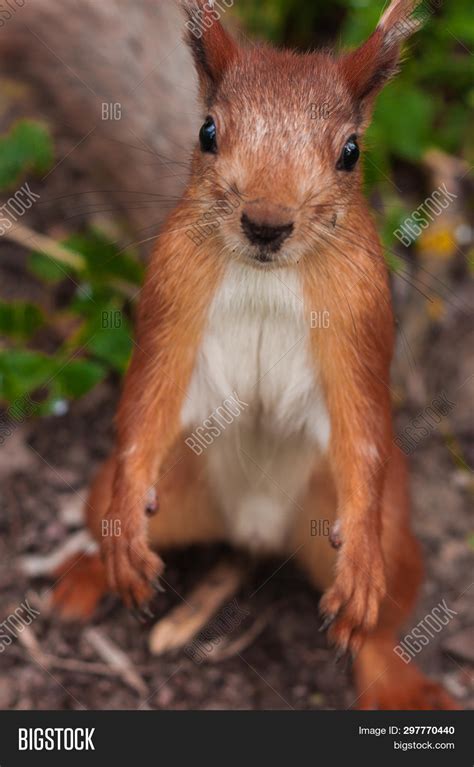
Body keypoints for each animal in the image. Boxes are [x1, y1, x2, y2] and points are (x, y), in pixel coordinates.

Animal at [15, 0, 457, 709]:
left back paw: (396, 678)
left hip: (385, 532)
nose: (266, 223)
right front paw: (122, 535)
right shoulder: (171, 297)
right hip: (164, 487)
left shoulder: (361, 318)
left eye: (351, 152)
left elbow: (362, 422)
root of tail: (256, 529)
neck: (264, 273)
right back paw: (89, 573)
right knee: (103, 512)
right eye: (207, 132)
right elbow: (147, 397)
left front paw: (360, 558)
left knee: (381, 626)